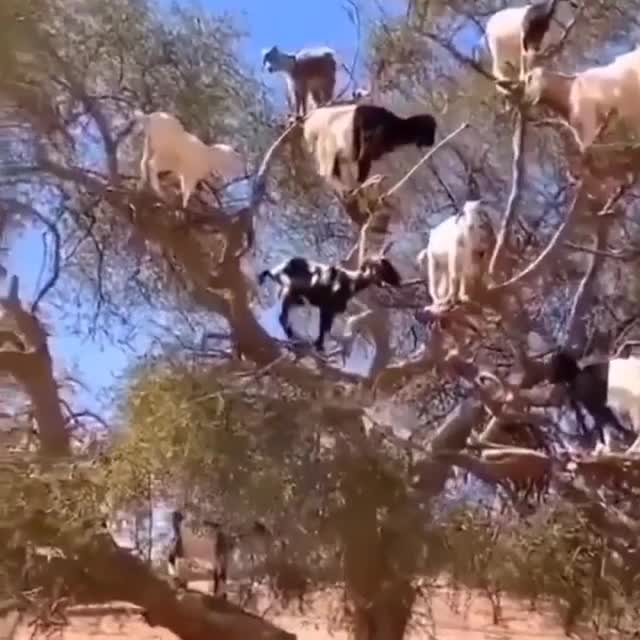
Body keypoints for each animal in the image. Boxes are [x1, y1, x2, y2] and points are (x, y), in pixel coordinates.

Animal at [258, 249, 401, 352]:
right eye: (386, 266)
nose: (398, 280)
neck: (351, 283)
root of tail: (284, 265)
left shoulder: (328, 311)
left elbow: (326, 328)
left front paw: (318, 345)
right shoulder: (327, 309)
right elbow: (324, 328)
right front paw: (319, 346)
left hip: (294, 298)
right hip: (289, 293)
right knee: (282, 316)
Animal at [303, 103, 436, 195]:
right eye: (430, 132)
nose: (432, 142)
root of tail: (310, 124)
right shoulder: (374, 136)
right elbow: (363, 163)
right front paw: (367, 183)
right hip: (327, 146)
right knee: (329, 171)